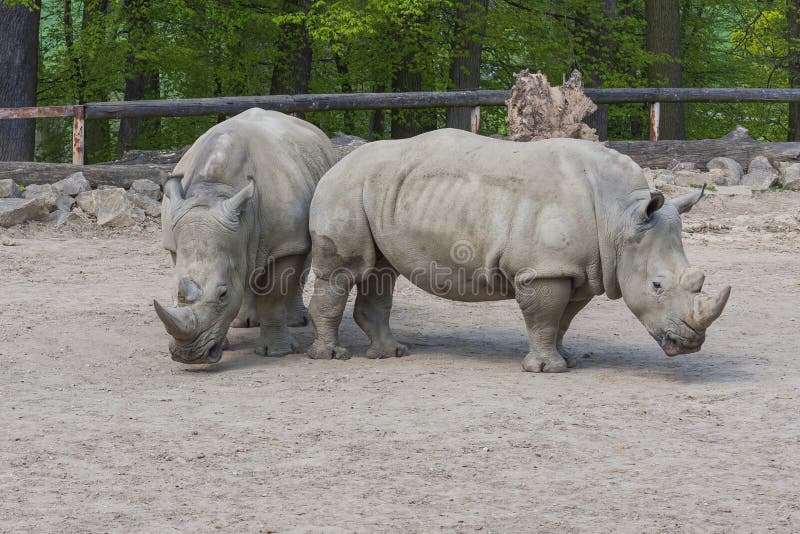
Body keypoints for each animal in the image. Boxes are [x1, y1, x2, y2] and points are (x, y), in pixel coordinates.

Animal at [155, 108, 335, 364]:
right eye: (175, 293)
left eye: (223, 294)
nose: (188, 355)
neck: (214, 192)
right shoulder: (177, 244)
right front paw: (224, 344)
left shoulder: (285, 244)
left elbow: (274, 296)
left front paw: (277, 352)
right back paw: (244, 323)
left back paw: (296, 322)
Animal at [306, 129, 730, 372]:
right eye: (657, 286)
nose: (691, 345)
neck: (621, 217)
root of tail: (335, 159)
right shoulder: (543, 268)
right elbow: (543, 316)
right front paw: (546, 369)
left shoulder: (577, 269)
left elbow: (563, 319)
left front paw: (565, 359)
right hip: (344, 188)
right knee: (343, 273)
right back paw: (331, 357)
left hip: (378, 190)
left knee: (381, 271)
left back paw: (391, 354)